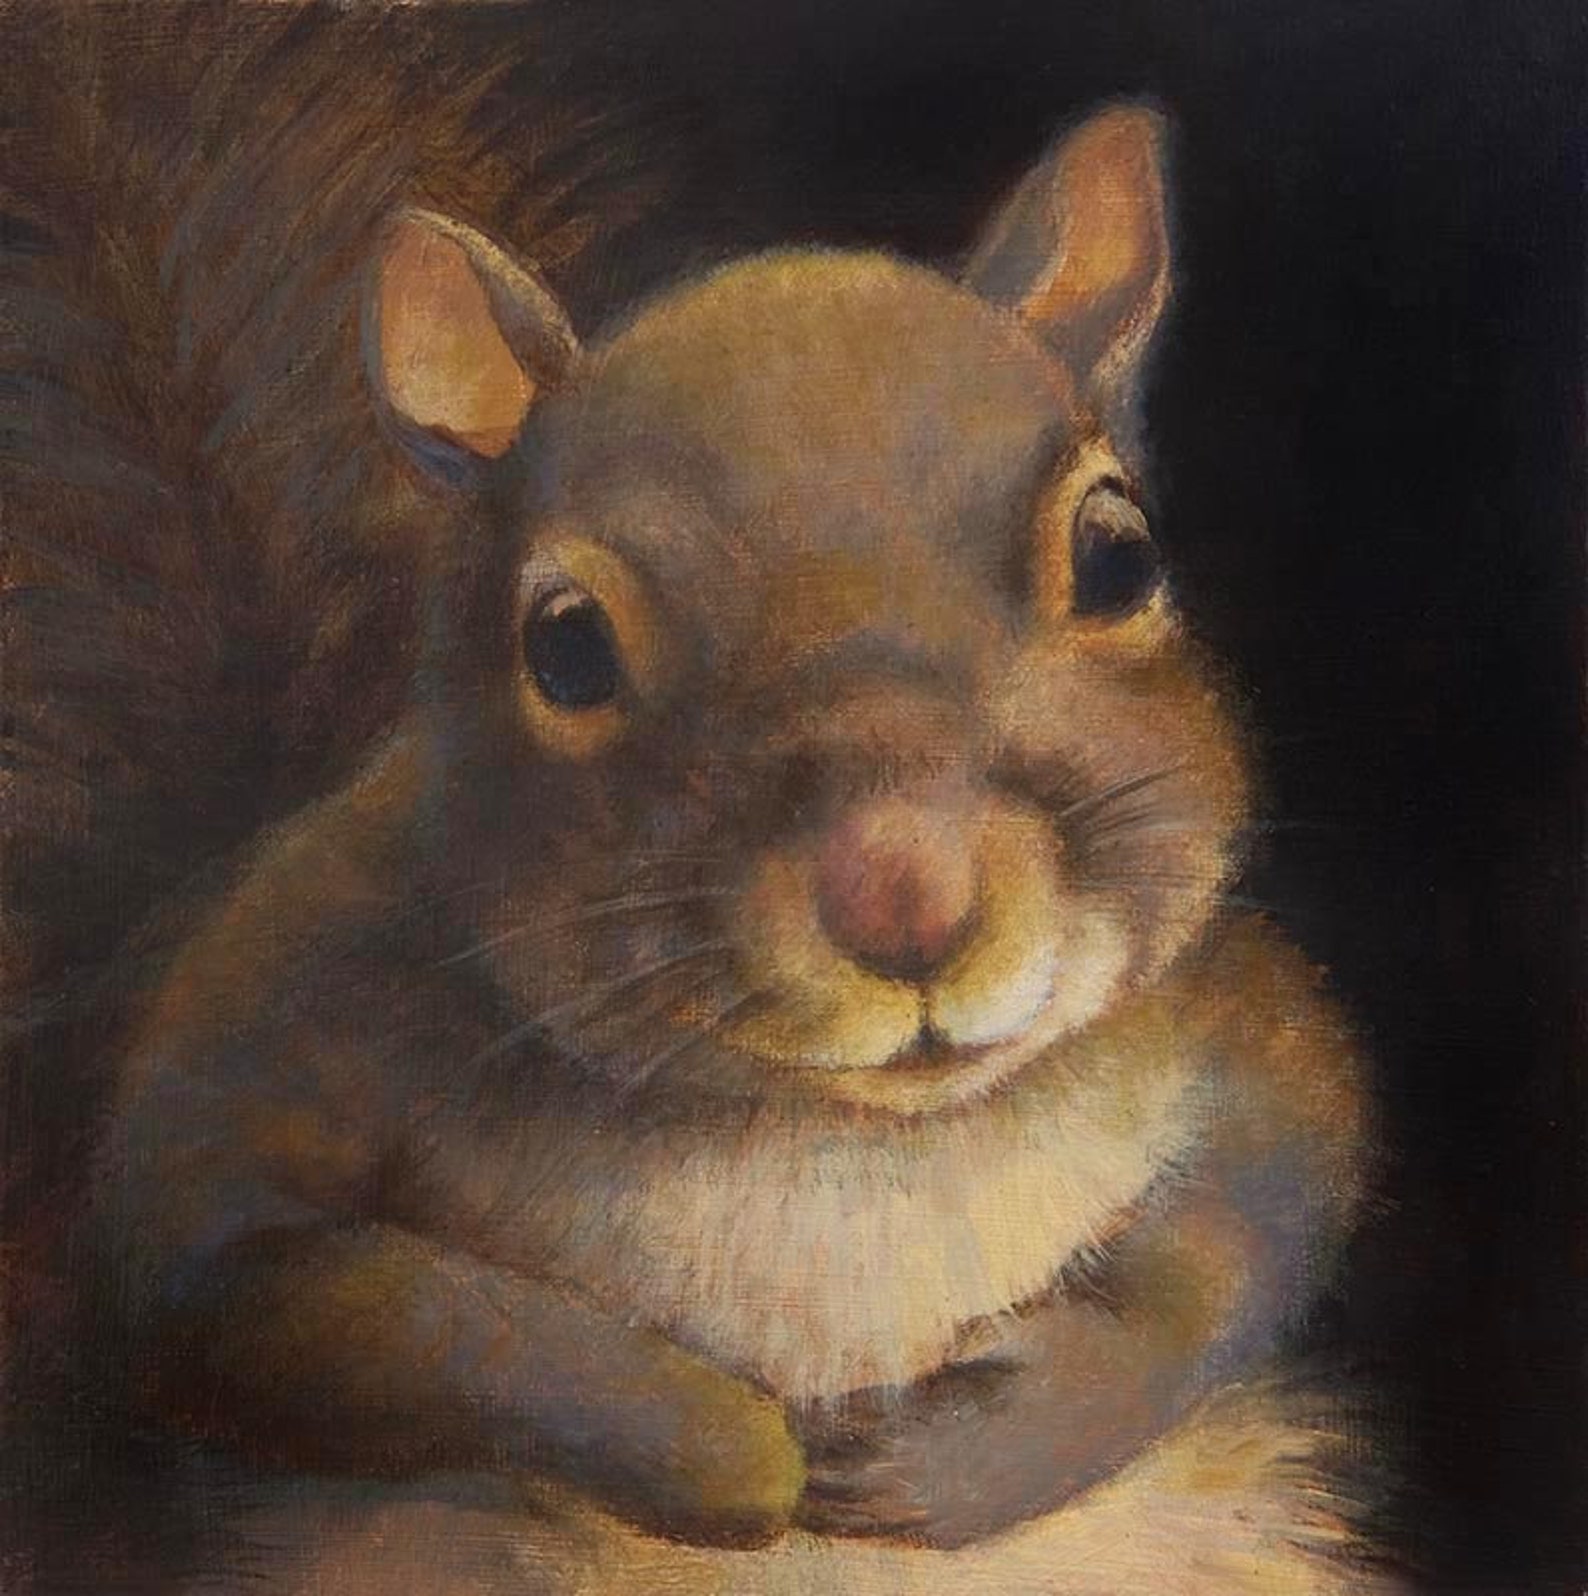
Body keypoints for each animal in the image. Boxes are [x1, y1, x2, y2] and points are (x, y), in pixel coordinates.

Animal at [76, 81, 1404, 1594]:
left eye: (1120, 555)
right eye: (565, 645)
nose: (907, 895)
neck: (841, 1136)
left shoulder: (1226, 1009)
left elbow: (1262, 1197)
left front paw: (966, 1455)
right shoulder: (289, 1013)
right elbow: (297, 1293)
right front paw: (750, 1456)